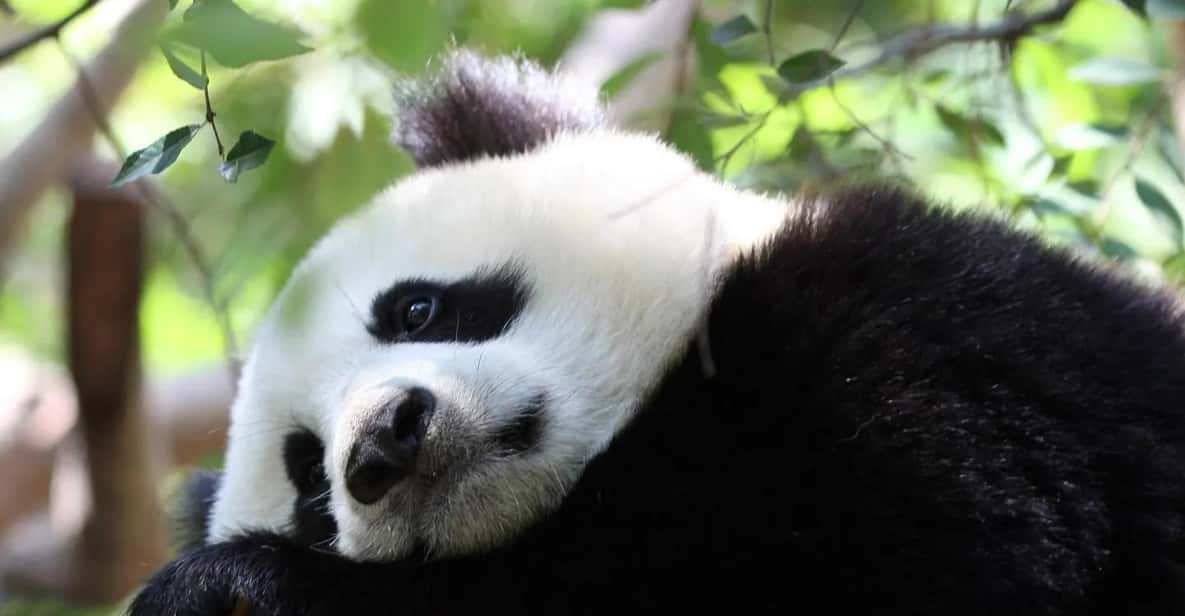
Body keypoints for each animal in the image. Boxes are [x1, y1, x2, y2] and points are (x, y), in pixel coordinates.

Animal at [130, 50, 1185, 615]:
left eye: (415, 310)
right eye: (310, 480)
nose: (386, 442)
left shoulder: (914, 344)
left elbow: (938, 550)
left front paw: (245, 580)